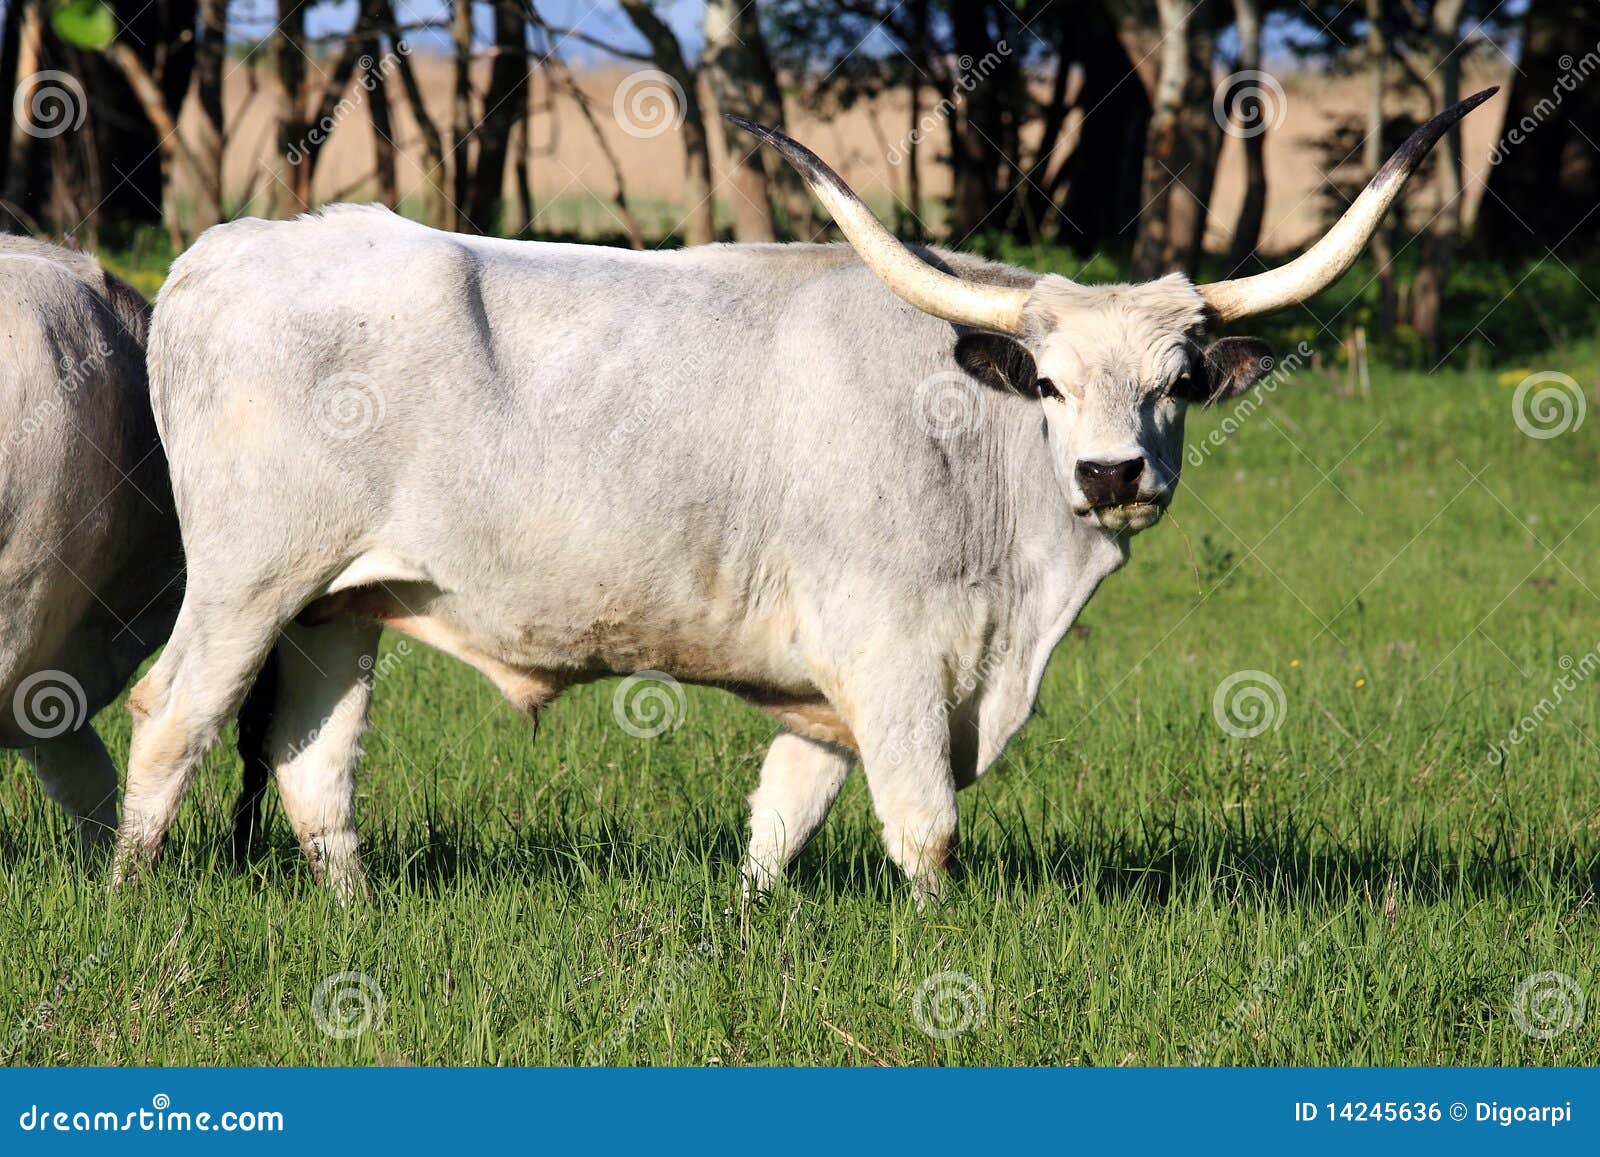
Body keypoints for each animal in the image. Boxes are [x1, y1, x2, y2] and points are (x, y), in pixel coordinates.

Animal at [112, 91, 1495, 902]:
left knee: (314, 773)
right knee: (170, 719)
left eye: (1180, 380)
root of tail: (226, 249)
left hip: (338, 603)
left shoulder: (836, 688)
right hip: (248, 582)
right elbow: (926, 830)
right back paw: (133, 895)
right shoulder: (892, 654)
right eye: (1048, 382)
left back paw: (357, 916)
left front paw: (746, 925)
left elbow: (779, 825)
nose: (1111, 473)